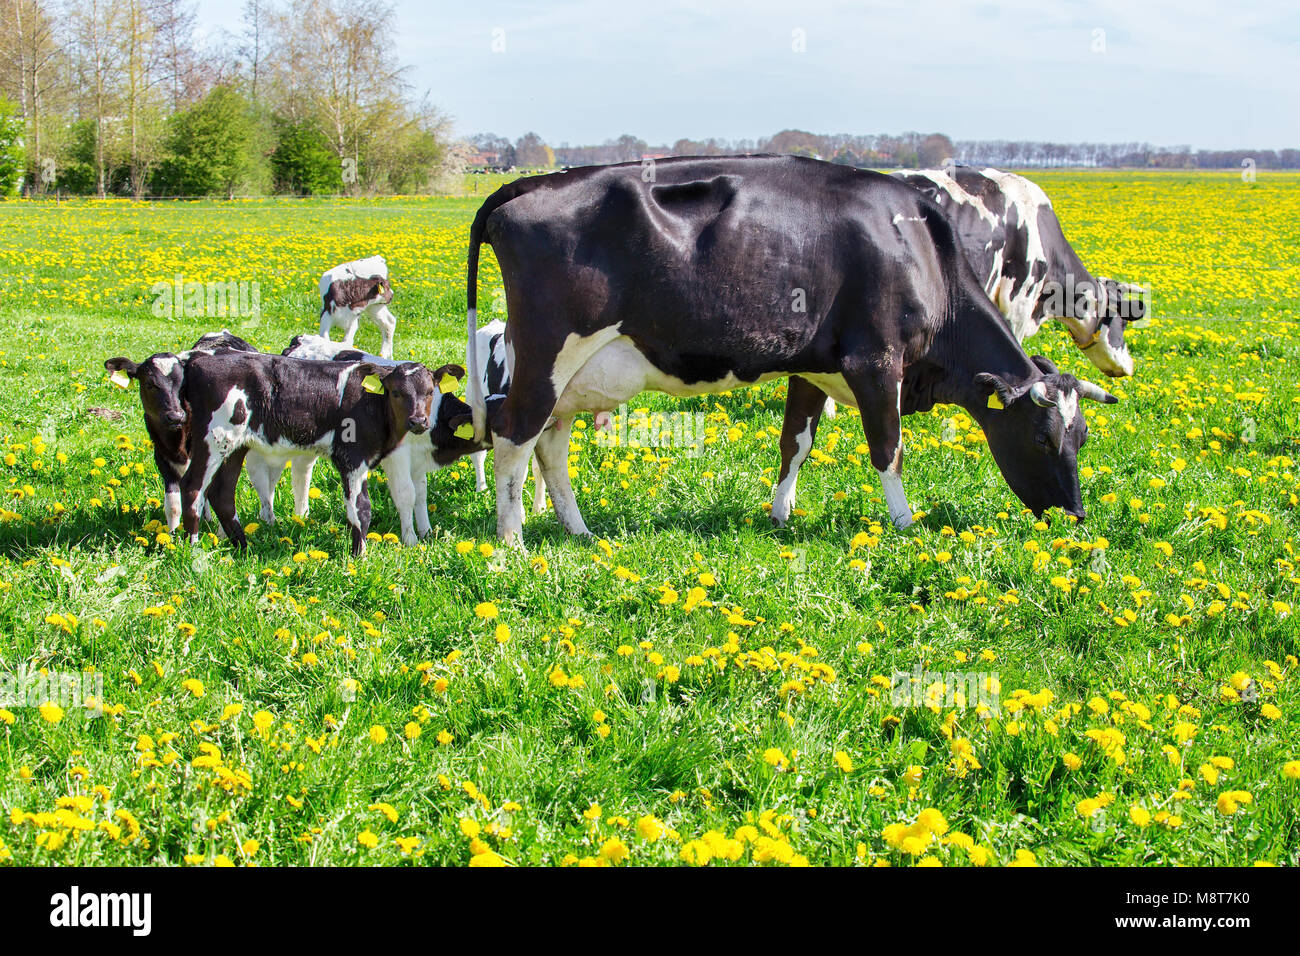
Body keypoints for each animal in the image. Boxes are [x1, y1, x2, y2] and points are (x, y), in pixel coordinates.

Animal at [105, 331, 314, 533]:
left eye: (183, 386)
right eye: (150, 384)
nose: (175, 416)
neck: (178, 438)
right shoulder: (163, 456)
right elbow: (173, 504)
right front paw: (172, 535)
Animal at [179, 351, 471, 555]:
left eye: (430, 391)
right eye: (396, 392)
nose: (418, 421)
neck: (372, 405)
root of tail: (196, 363)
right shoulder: (351, 458)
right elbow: (361, 508)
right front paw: (359, 556)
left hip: (234, 446)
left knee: (222, 494)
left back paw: (243, 547)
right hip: (212, 439)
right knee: (193, 487)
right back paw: (191, 548)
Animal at [282, 334, 480, 543]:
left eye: (430, 392)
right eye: (396, 393)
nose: (418, 421)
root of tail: (300, 339)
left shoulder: (418, 459)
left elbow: (420, 494)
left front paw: (426, 532)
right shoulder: (397, 456)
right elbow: (406, 494)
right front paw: (411, 540)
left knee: (302, 469)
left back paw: (302, 516)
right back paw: (302, 516)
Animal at [463, 155, 1118, 547]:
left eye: (1083, 436)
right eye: (1042, 438)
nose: (1076, 517)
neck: (920, 245)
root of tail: (533, 182)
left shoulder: (813, 366)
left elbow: (795, 442)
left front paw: (779, 515)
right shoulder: (876, 362)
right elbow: (889, 450)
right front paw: (905, 523)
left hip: (573, 376)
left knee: (550, 445)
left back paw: (577, 530)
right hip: (548, 354)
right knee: (514, 435)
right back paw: (512, 541)